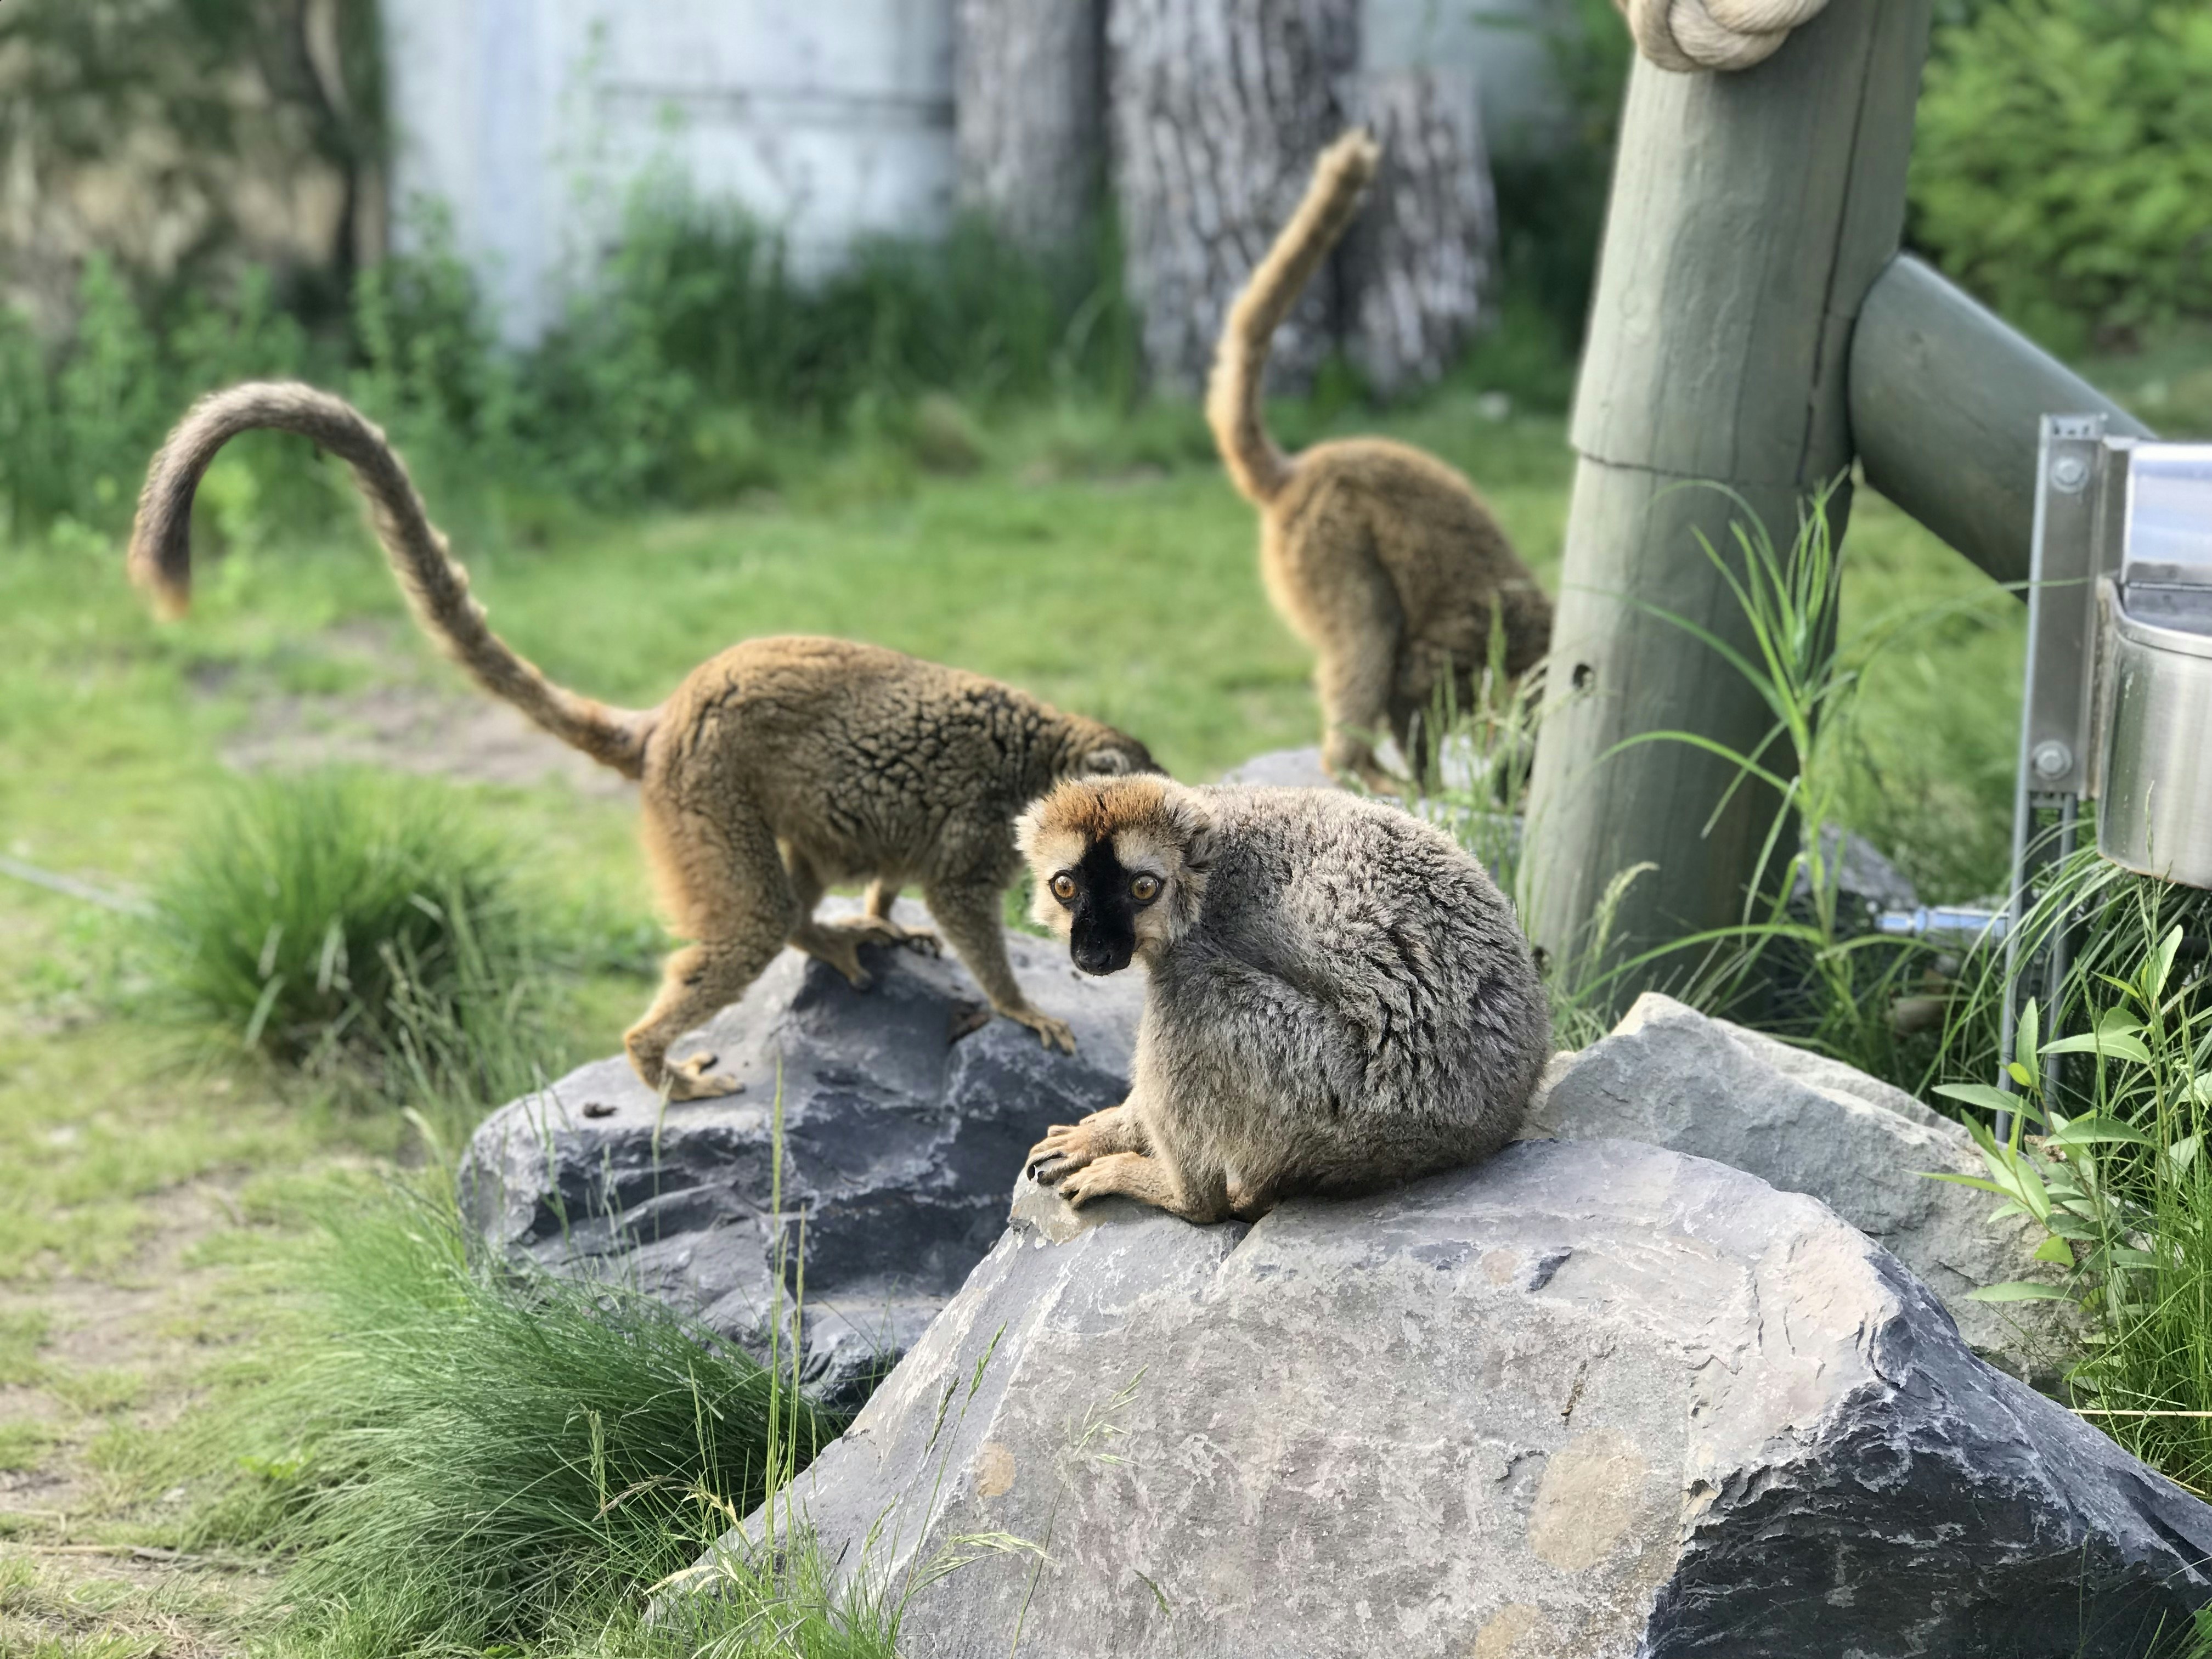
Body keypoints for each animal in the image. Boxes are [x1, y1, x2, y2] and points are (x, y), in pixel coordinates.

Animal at [127, 382, 1158, 1100]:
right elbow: (955, 899)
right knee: (750, 920)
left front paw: (878, 909)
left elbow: (896, 872)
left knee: (788, 889)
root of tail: (668, 719)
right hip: (703, 789)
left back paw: (817, 930)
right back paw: (658, 1060)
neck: (1051, 754)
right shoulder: (984, 830)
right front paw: (1020, 1006)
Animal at [1013, 775, 1549, 1223]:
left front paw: (1114, 1135)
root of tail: (1493, 1125)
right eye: (1065, 887)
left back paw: (1187, 1198)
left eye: (1143, 888)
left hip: (1352, 1095)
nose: (1095, 953)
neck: (1209, 875)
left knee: (1188, 992)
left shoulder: (1205, 933)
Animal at [1207, 129, 1555, 796]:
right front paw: (1437, 788)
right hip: (1329, 544)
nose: (1517, 784)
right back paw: (1355, 767)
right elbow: (1408, 690)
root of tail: (1301, 474)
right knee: (1371, 633)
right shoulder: (1463, 645)